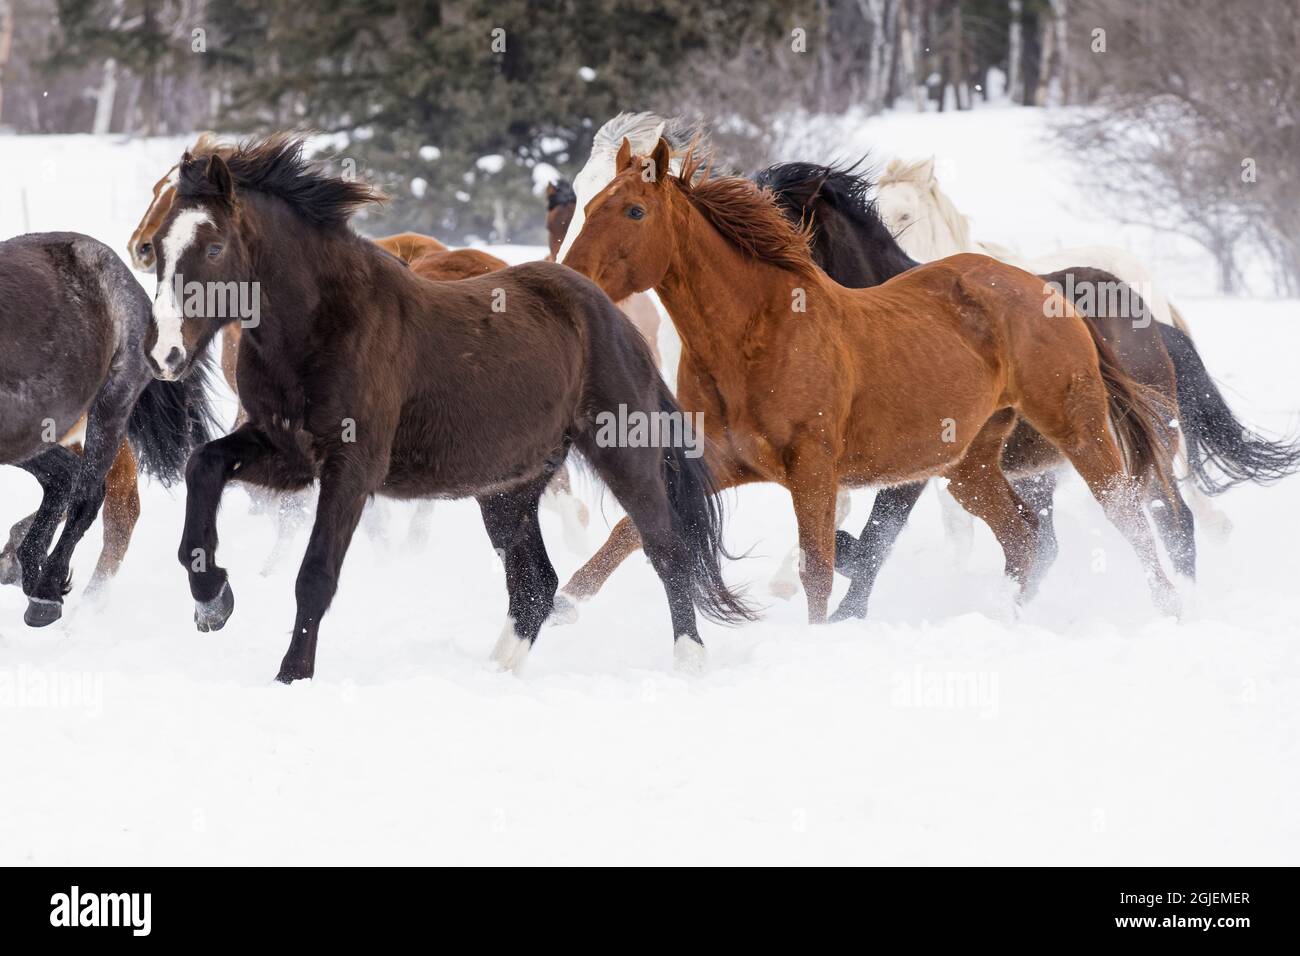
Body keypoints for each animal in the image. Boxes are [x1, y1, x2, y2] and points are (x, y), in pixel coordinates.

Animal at [0, 232, 214, 625]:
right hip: (33, 437)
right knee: (64, 479)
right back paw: (28, 570)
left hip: (111, 406)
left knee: (88, 495)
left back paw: (45, 596)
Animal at [143, 134, 750, 682]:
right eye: (159, 251)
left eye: (214, 248)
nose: (164, 355)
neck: (322, 326)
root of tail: (615, 318)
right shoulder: (287, 452)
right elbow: (203, 465)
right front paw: (212, 599)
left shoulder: (351, 469)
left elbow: (314, 576)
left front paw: (291, 676)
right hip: (509, 488)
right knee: (535, 582)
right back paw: (496, 672)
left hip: (623, 454)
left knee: (665, 548)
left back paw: (689, 664)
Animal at [559, 138, 1183, 624]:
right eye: (589, 204)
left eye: (634, 211)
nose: (572, 277)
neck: (760, 335)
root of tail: (1053, 292)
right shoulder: (719, 460)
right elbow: (628, 532)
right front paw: (554, 613)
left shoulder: (815, 470)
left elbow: (824, 566)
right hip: (971, 467)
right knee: (1027, 537)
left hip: (1079, 431)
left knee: (1135, 518)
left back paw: (1171, 609)